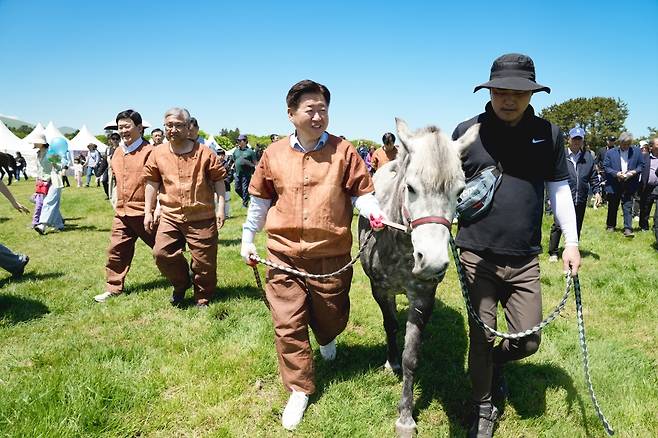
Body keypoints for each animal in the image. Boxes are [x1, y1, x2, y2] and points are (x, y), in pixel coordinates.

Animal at [358, 118, 476, 436]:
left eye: (460, 192)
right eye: (410, 188)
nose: (432, 262)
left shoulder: (422, 296)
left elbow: (411, 356)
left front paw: (405, 416)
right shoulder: (380, 290)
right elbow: (390, 326)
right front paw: (391, 363)